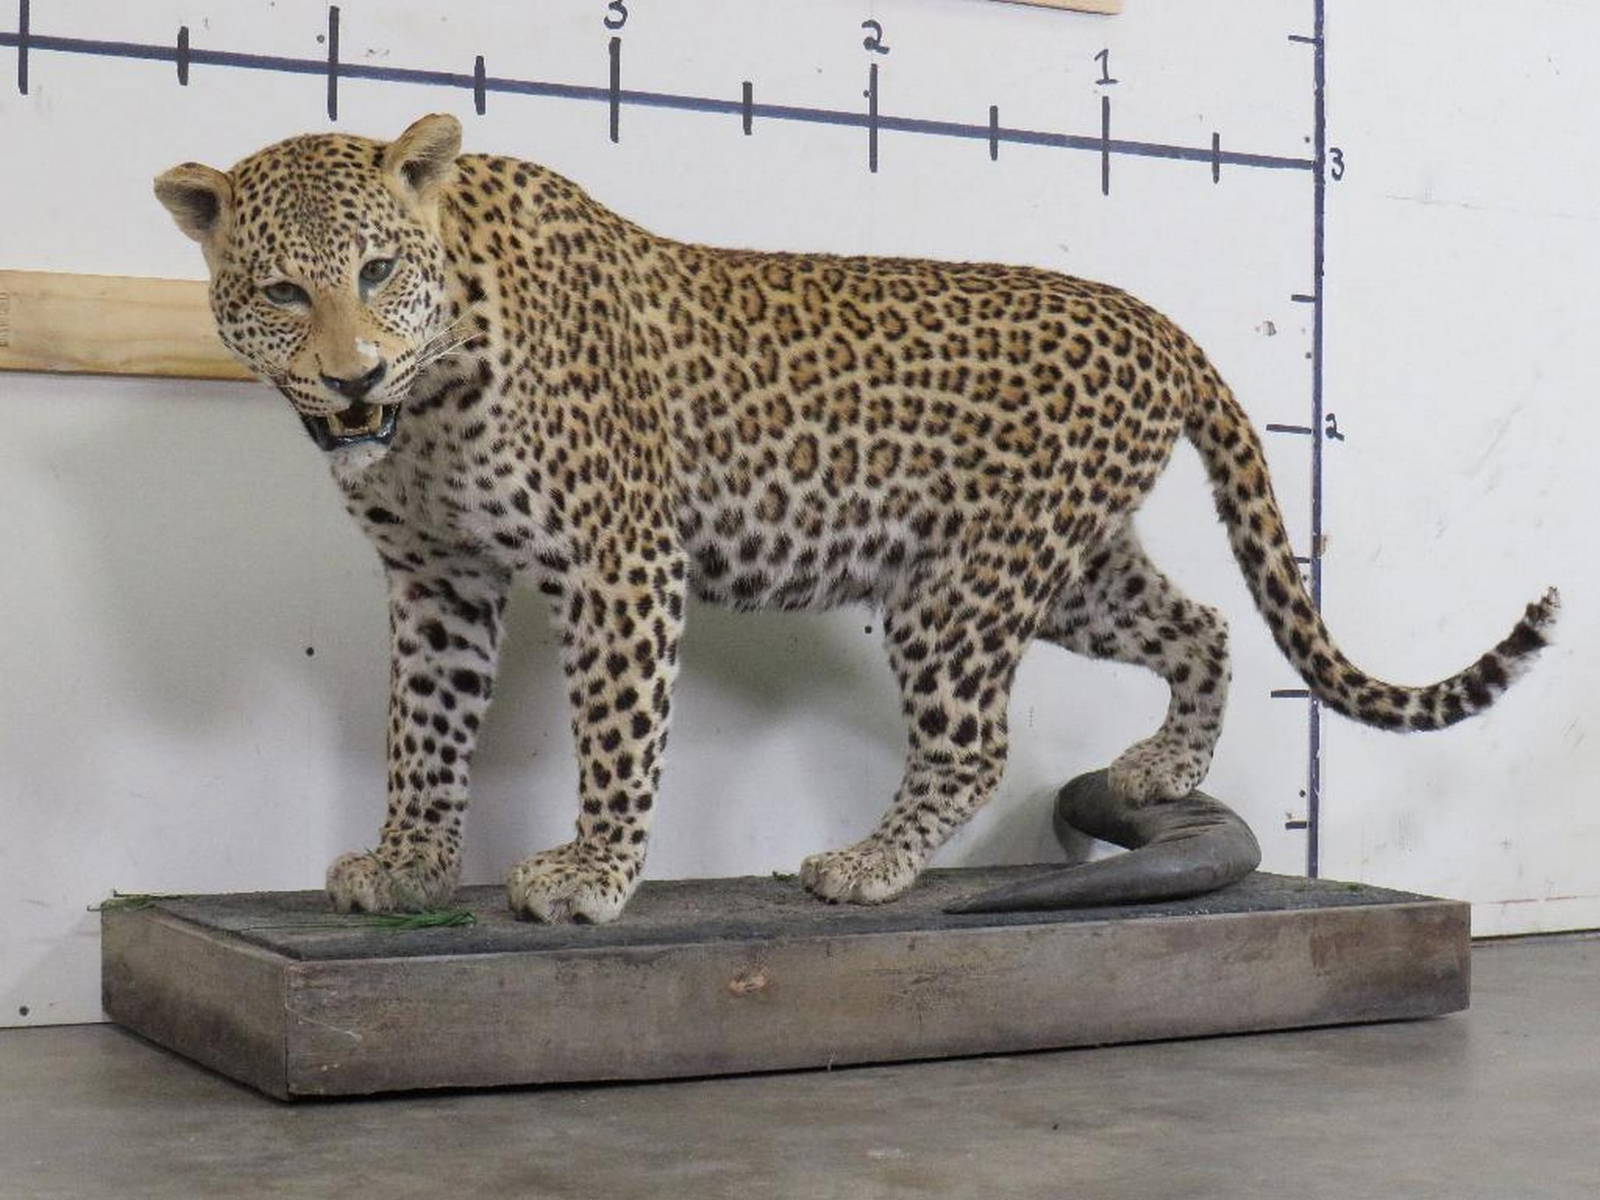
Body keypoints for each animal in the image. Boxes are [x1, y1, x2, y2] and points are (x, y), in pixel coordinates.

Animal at [154, 113, 1558, 924]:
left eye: (379, 269)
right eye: (282, 292)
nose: (350, 379)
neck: (433, 397)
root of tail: (1156, 322)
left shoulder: (619, 564)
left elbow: (617, 735)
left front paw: (591, 876)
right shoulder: (439, 577)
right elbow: (423, 735)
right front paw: (405, 866)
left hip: (962, 589)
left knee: (977, 743)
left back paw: (865, 867)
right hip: (1067, 572)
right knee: (1203, 624)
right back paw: (1161, 771)